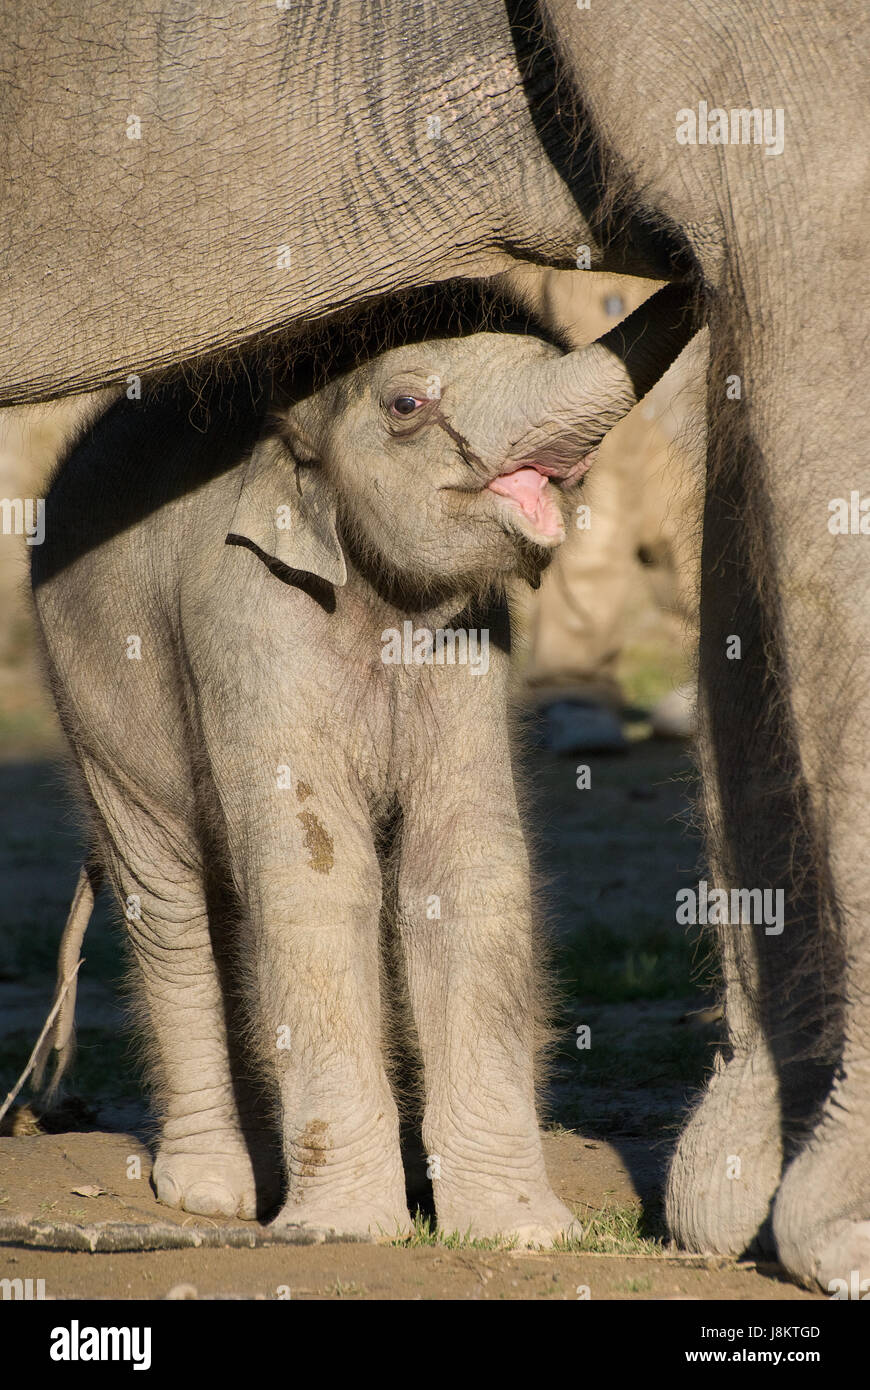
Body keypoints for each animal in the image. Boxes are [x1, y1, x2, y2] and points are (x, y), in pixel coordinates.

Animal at [30, 282, 697, 1241]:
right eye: (407, 406)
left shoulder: (470, 639)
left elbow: (462, 864)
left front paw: (522, 1231)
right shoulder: (250, 616)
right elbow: (315, 869)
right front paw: (344, 1229)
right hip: (89, 684)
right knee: (169, 892)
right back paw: (215, 1191)